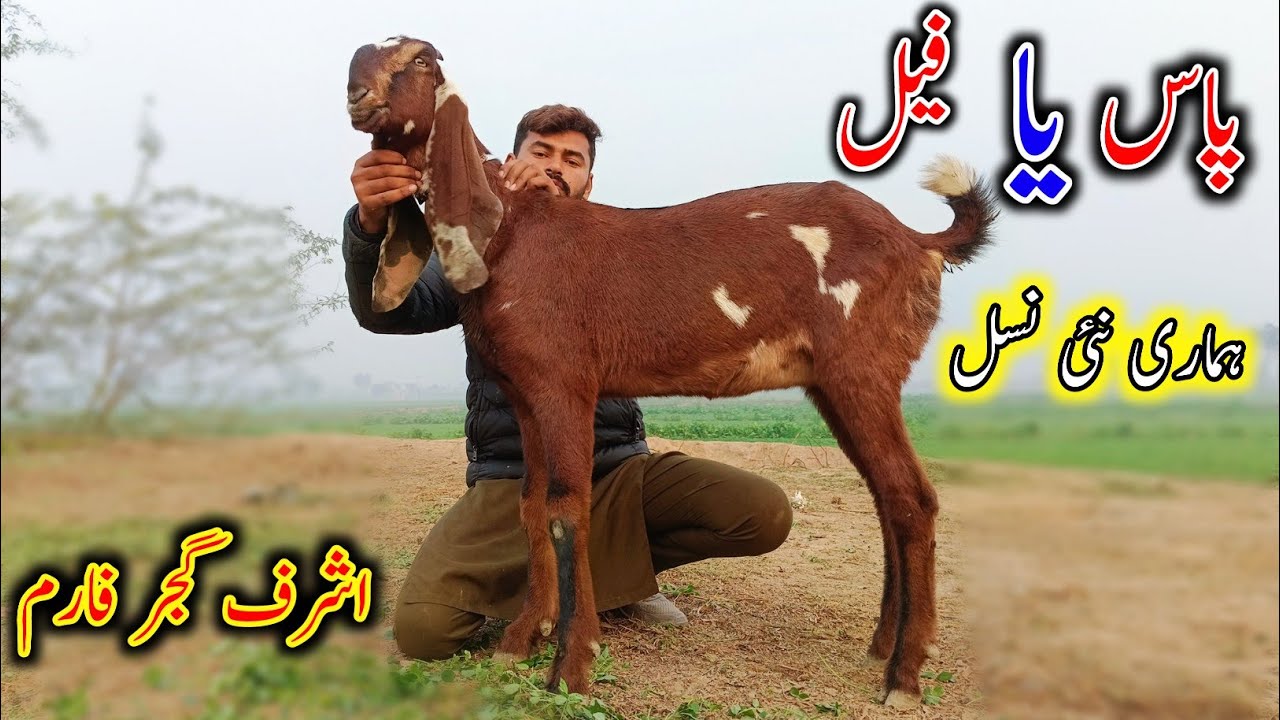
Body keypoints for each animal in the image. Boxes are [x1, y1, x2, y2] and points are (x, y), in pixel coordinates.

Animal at [346, 36, 998, 708]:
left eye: (422, 61)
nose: (357, 94)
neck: (512, 230)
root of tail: (917, 240)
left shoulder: (564, 384)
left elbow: (566, 508)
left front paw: (572, 665)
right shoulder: (524, 393)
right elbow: (530, 505)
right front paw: (522, 639)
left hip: (863, 368)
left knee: (911, 497)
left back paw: (905, 675)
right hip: (833, 382)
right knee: (884, 496)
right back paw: (882, 647)